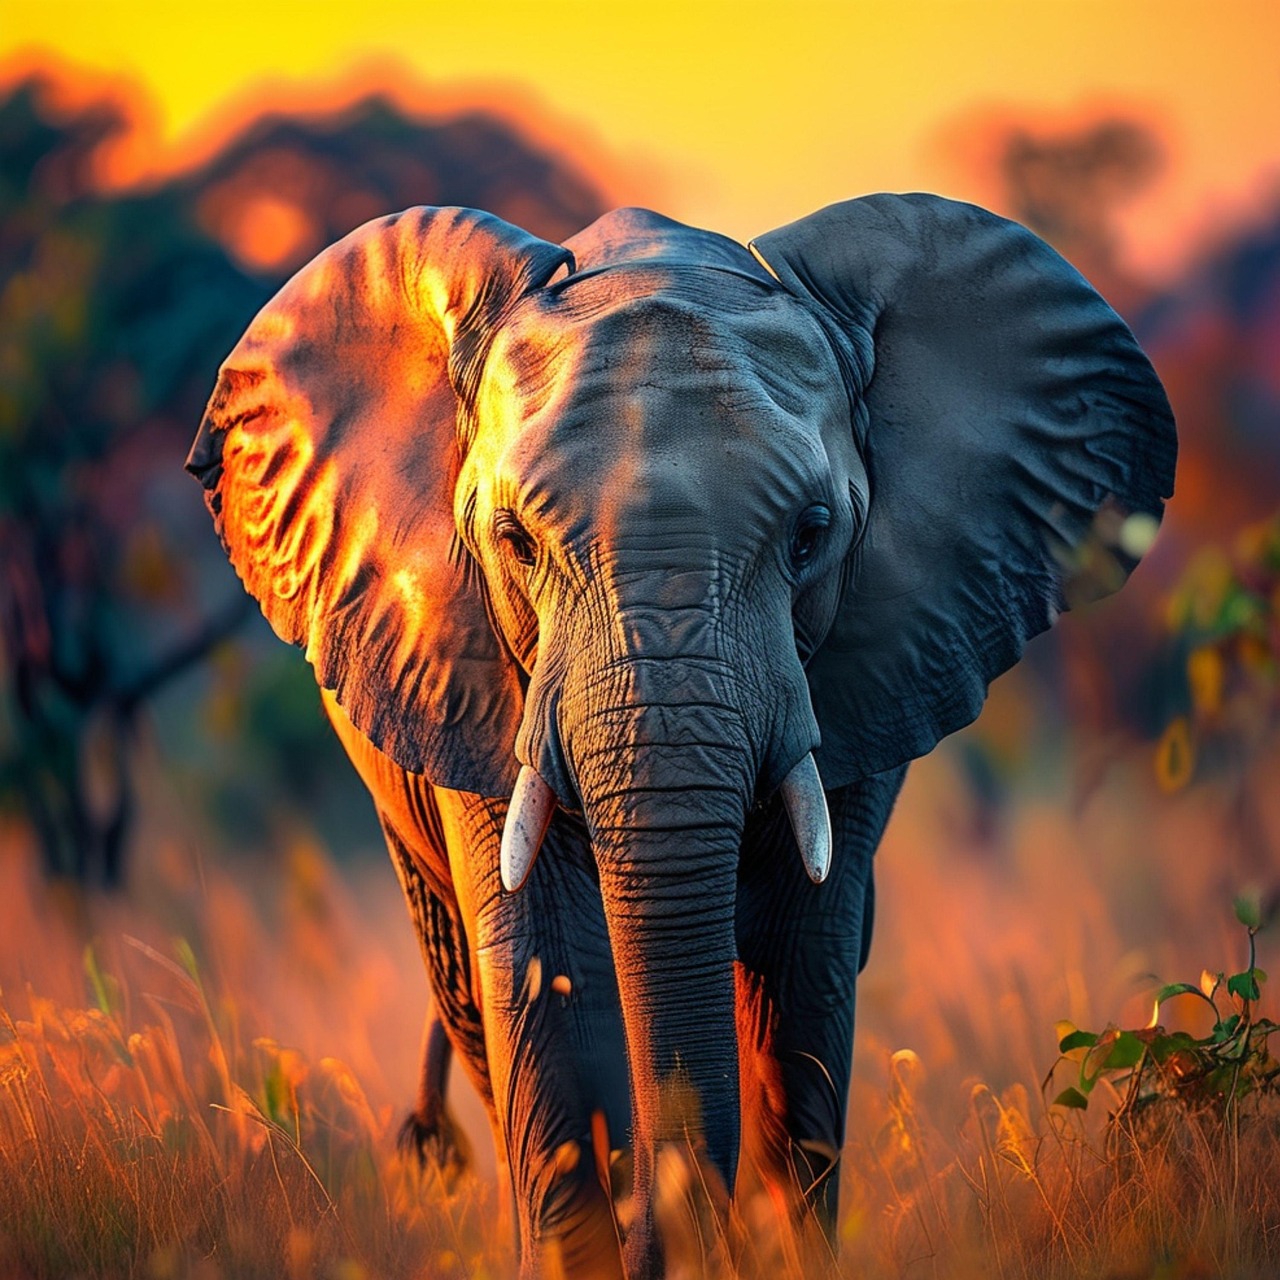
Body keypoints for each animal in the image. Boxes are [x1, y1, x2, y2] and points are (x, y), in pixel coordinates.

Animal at [186, 193, 1176, 1278]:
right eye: (513, 541)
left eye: (810, 534)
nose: (665, 1243)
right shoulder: (475, 674)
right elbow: (554, 980)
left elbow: (799, 979)